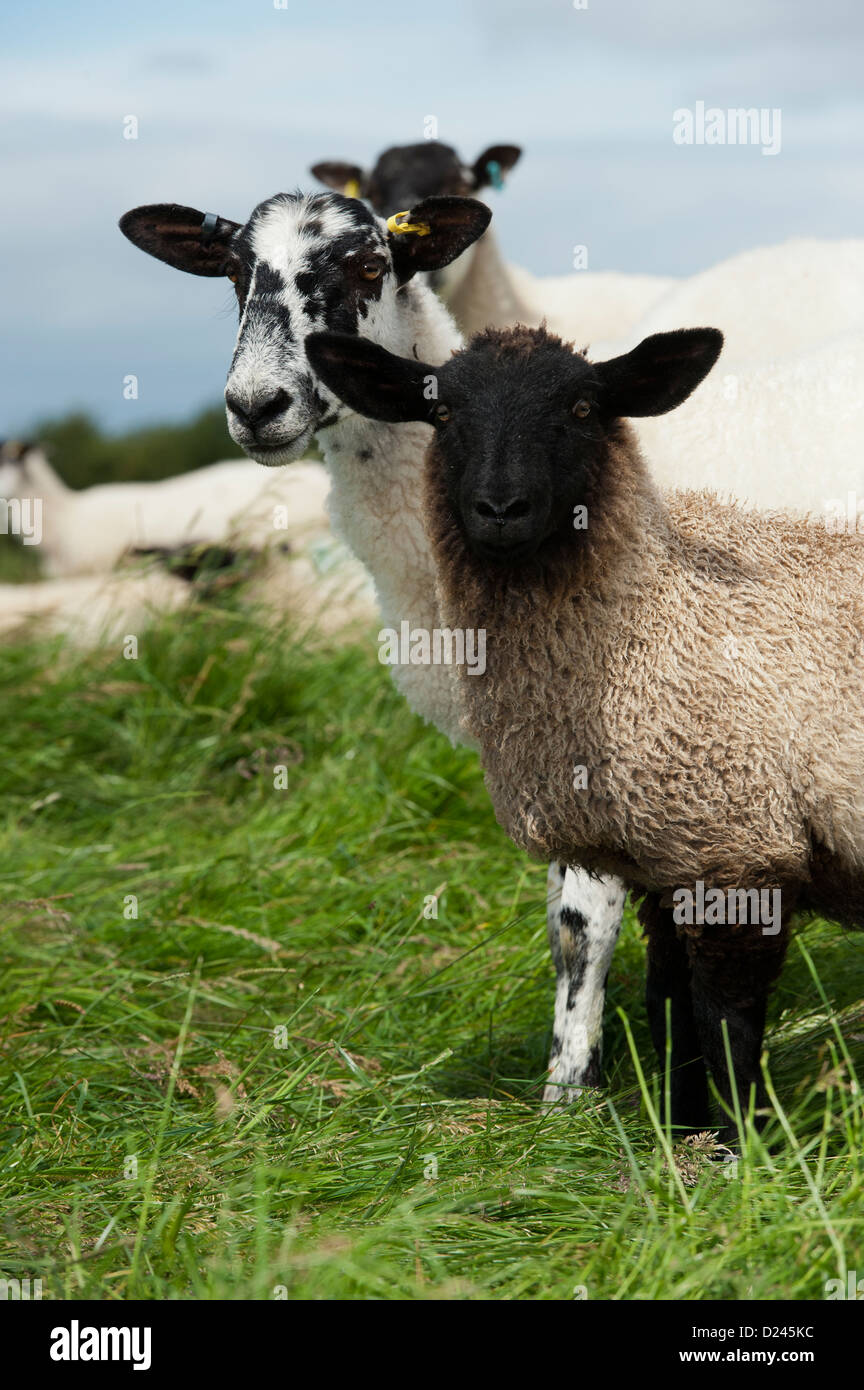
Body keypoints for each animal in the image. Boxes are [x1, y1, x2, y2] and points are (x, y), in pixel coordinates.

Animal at [303, 321, 864, 1136]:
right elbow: (671, 1014)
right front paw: (683, 1132)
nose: (500, 508)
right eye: (441, 412)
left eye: (581, 407)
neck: (656, 614)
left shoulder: (737, 847)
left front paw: (743, 1146)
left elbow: (726, 1024)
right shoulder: (664, 859)